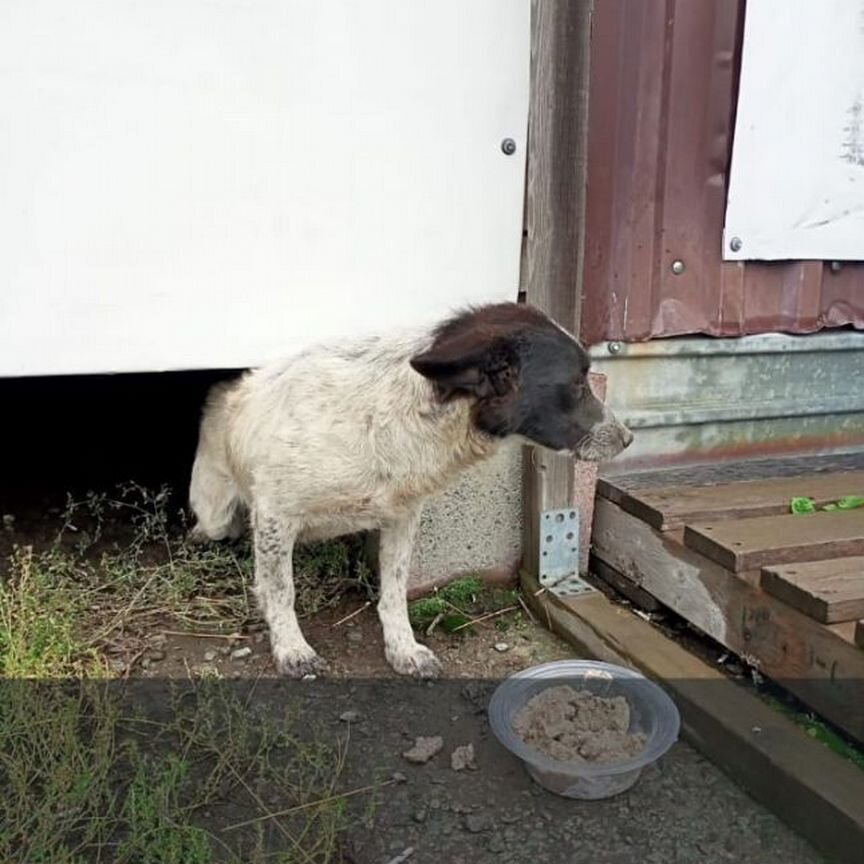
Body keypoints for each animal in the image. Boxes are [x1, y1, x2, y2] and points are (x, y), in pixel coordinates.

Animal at [191, 300, 636, 680]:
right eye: (577, 385)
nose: (629, 438)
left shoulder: (401, 517)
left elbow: (394, 591)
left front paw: (403, 648)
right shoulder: (275, 514)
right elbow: (281, 589)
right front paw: (291, 648)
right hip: (217, 510)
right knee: (220, 526)